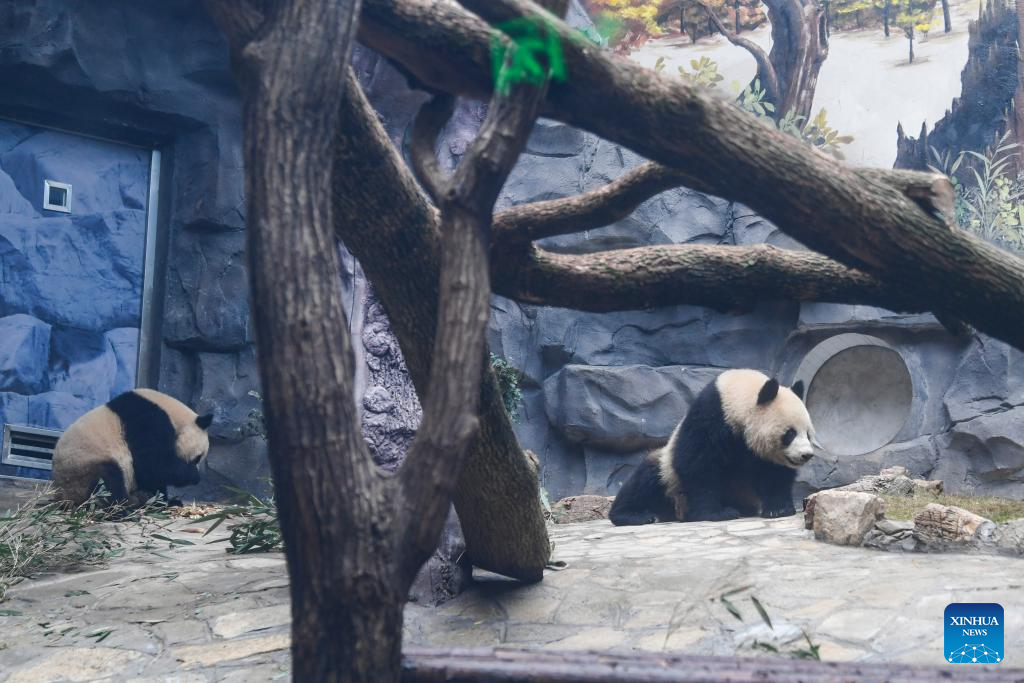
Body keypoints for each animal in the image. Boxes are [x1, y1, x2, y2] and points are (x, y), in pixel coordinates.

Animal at [52, 388, 213, 507]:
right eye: (197, 457)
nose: (197, 472)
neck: (173, 416)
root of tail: (62, 495)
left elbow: (153, 476)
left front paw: (165, 501)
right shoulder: (148, 422)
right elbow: (153, 466)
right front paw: (193, 476)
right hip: (84, 467)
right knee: (108, 481)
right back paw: (121, 509)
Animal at [609, 369, 820, 526]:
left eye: (808, 434)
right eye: (790, 433)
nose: (806, 455)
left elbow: (774, 473)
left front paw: (778, 508)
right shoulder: (711, 415)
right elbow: (697, 464)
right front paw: (716, 513)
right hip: (667, 471)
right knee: (645, 479)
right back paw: (633, 515)